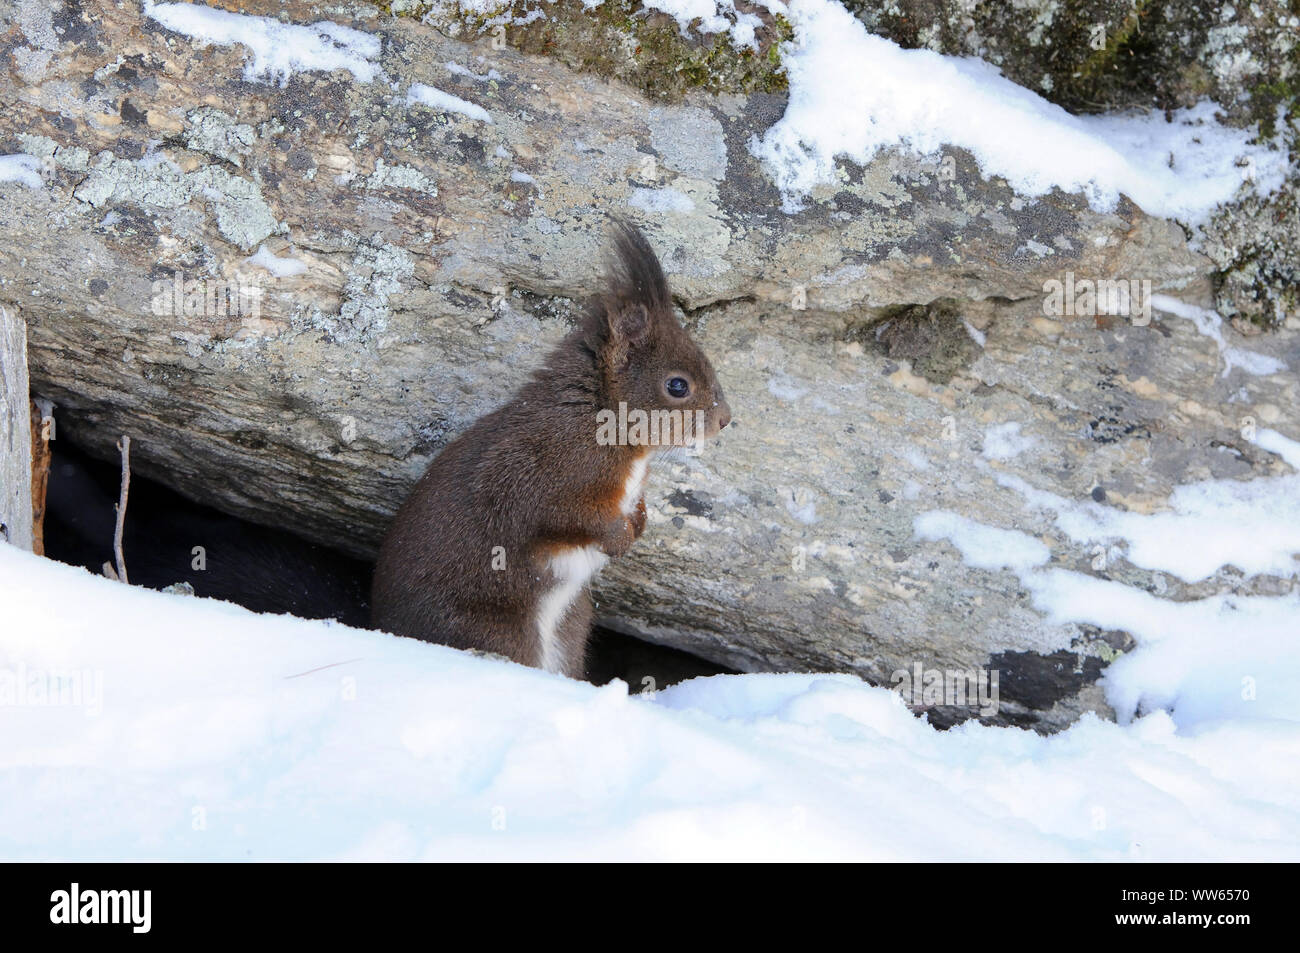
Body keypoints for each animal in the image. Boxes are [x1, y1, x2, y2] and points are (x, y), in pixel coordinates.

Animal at [371, 220, 731, 677]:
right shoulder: (536, 470)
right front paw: (618, 536)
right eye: (678, 386)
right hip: (494, 632)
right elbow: (561, 514)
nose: (726, 419)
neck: (605, 426)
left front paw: (640, 522)